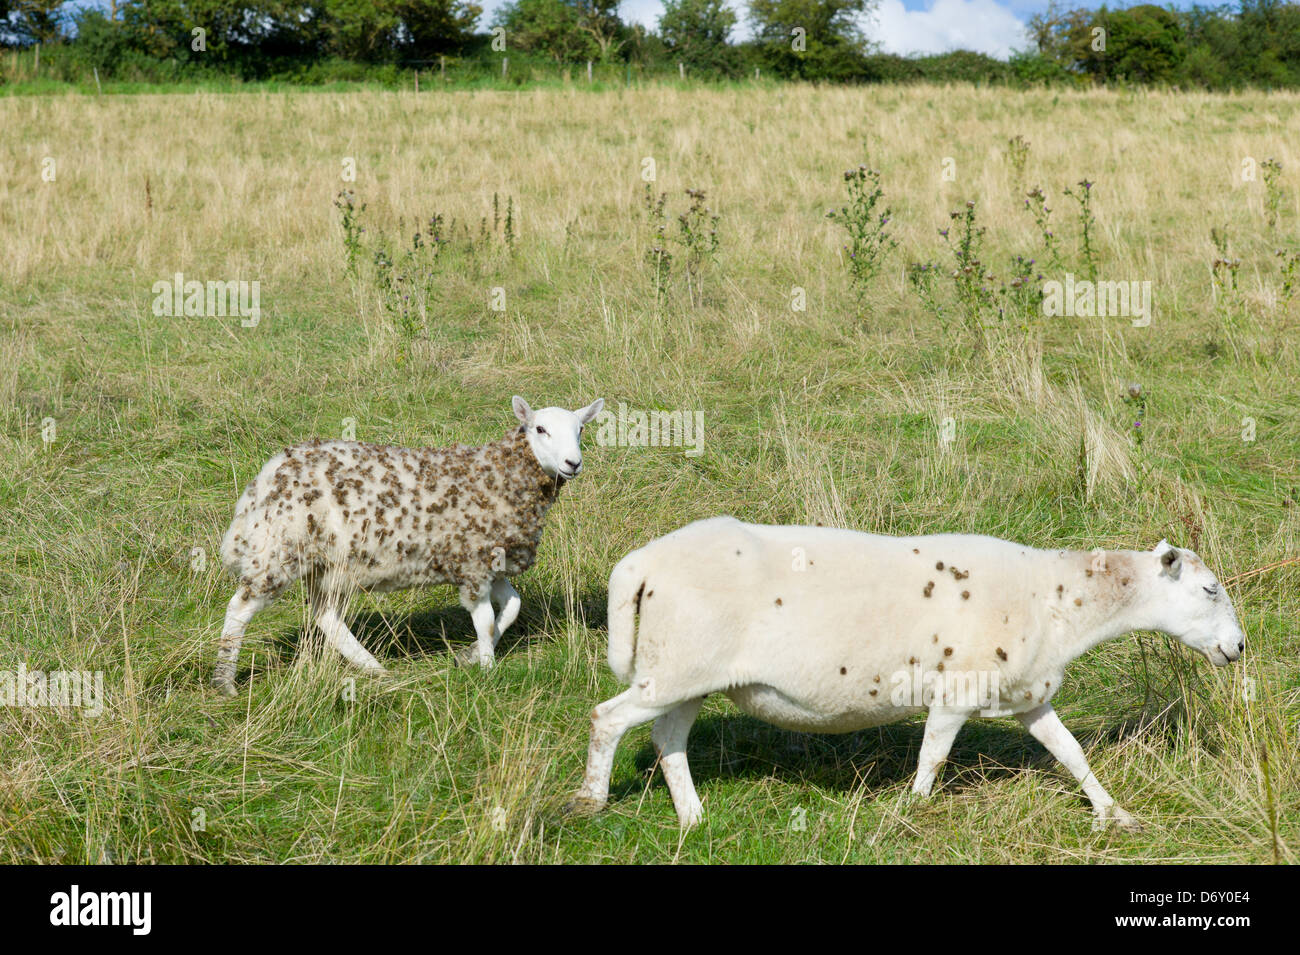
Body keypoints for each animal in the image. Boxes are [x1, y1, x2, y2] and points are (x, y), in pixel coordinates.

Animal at [212, 396, 604, 695]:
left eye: (581, 430)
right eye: (540, 429)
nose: (573, 463)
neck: (499, 475)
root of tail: (263, 480)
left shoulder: (492, 562)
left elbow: (511, 609)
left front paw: (471, 656)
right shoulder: (473, 563)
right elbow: (486, 621)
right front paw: (488, 670)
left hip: (329, 565)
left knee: (326, 616)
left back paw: (373, 668)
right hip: (278, 550)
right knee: (240, 608)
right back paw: (225, 681)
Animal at [567, 517, 1245, 830]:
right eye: (1210, 590)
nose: (1237, 647)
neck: (1059, 601)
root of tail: (642, 563)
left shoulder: (1028, 693)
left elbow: (1072, 752)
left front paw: (1113, 814)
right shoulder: (957, 691)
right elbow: (933, 758)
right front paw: (913, 814)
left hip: (687, 673)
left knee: (667, 738)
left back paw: (692, 816)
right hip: (675, 666)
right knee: (607, 719)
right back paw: (590, 802)